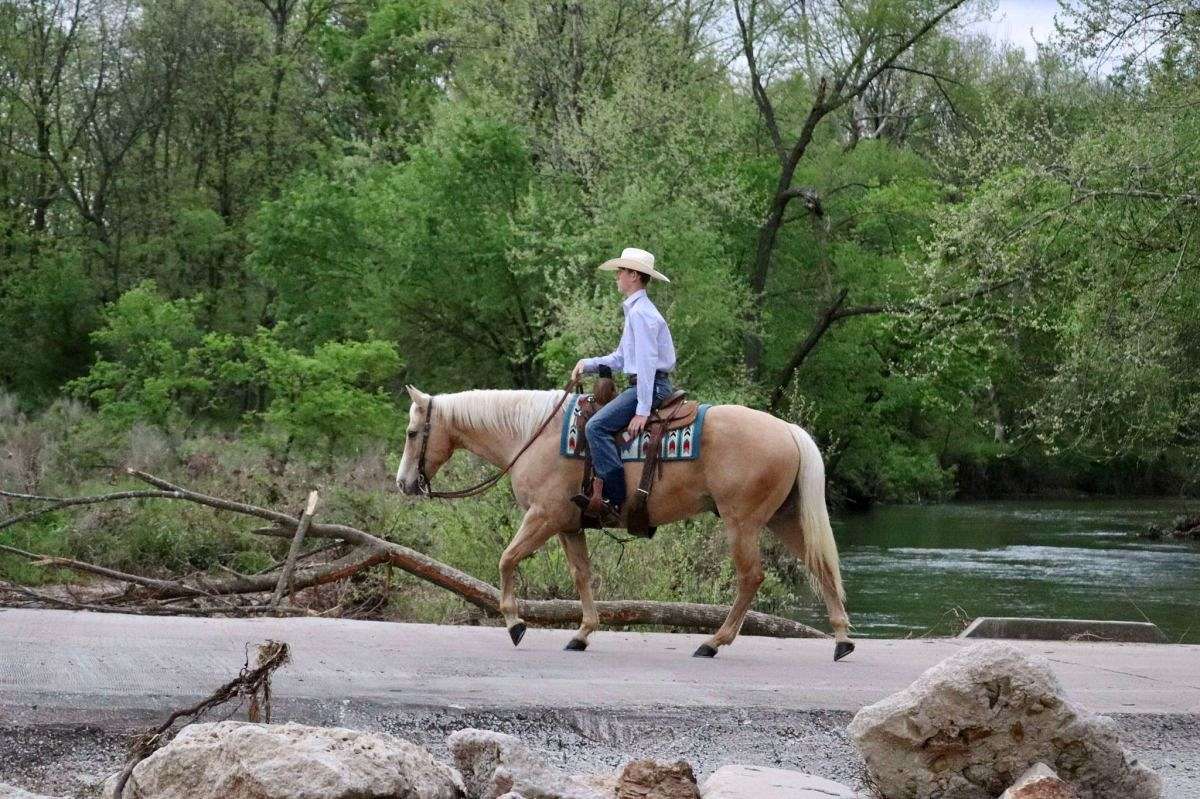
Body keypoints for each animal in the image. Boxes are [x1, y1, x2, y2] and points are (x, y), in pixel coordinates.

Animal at [395, 385, 853, 661]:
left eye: (413, 432)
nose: (403, 483)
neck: (532, 434)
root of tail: (788, 430)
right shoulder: (569, 525)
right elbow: (581, 575)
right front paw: (582, 633)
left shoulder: (544, 516)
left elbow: (507, 559)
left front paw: (515, 624)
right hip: (783, 518)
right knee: (821, 567)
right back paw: (843, 640)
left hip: (743, 522)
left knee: (751, 577)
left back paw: (713, 642)